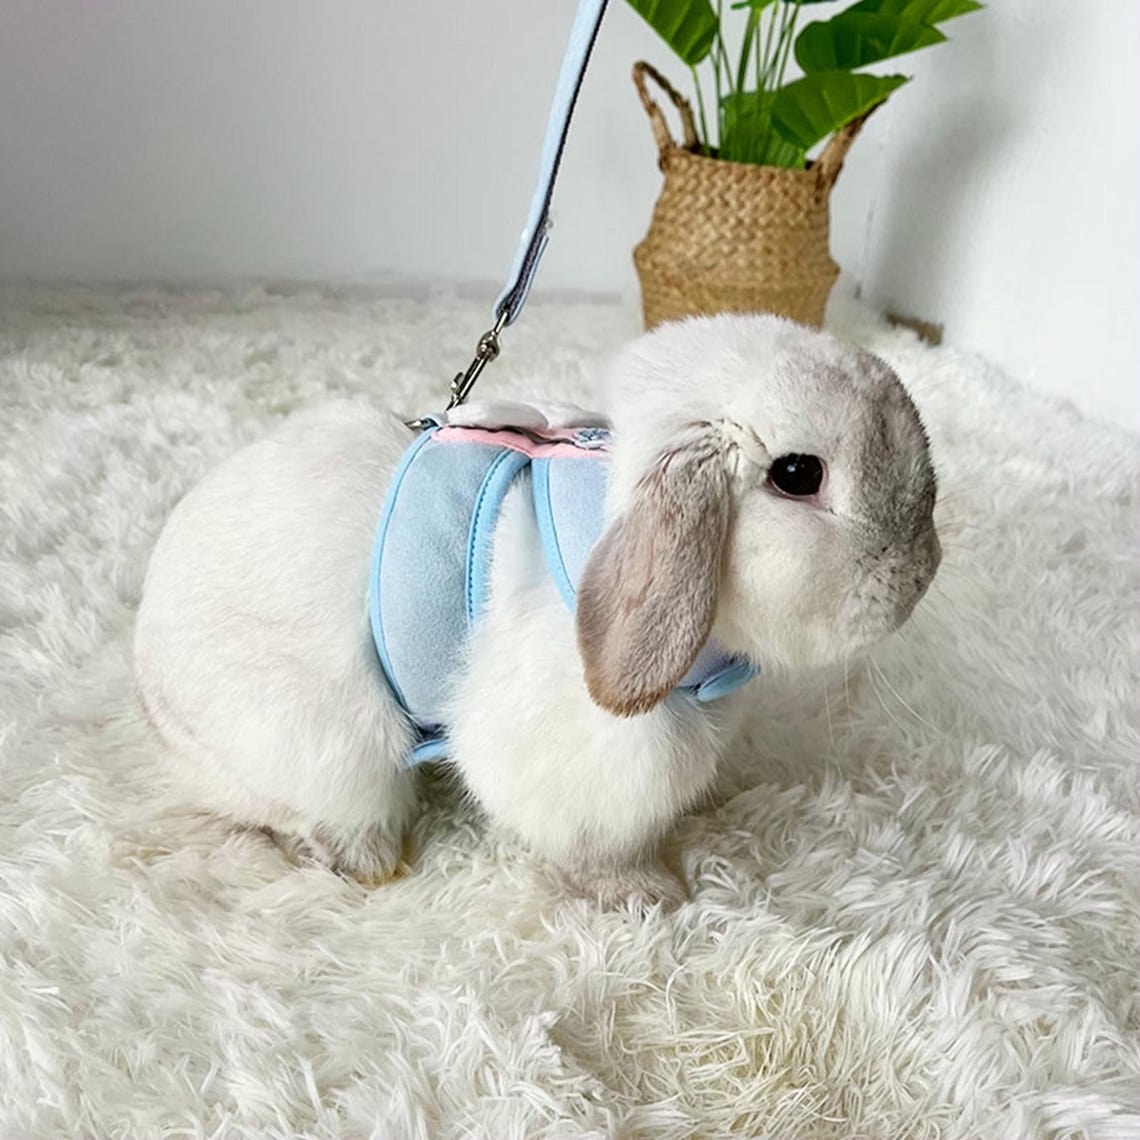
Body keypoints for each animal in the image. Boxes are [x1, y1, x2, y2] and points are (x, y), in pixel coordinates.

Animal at [133, 312, 940, 907]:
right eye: (798, 474)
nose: (923, 571)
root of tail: (153, 698)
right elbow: (590, 845)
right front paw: (648, 892)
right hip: (327, 745)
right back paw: (369, 859)